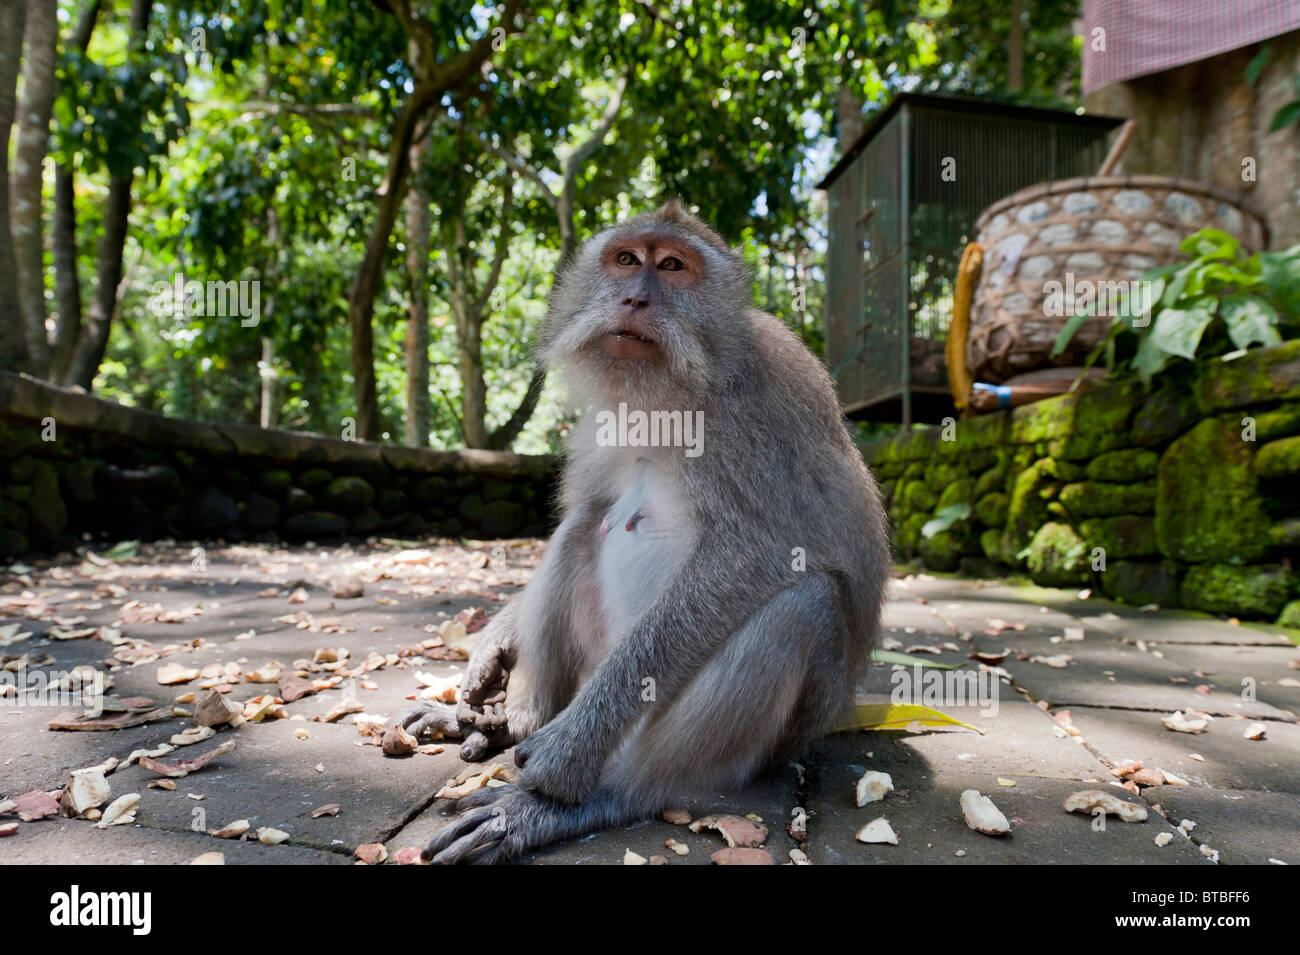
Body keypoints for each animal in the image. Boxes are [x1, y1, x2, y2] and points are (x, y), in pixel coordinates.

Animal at [392, 199, 890, 864]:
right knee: (583, 524)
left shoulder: (762, 408)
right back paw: (512, 722)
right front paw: (495, 646)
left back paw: (585, 799)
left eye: (673, 266)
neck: (667, 399)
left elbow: (755, 557)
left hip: (773, 738)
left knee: (804, 604)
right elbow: (588, 508)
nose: (635, 299)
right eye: (627, 259)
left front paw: (567, 752)